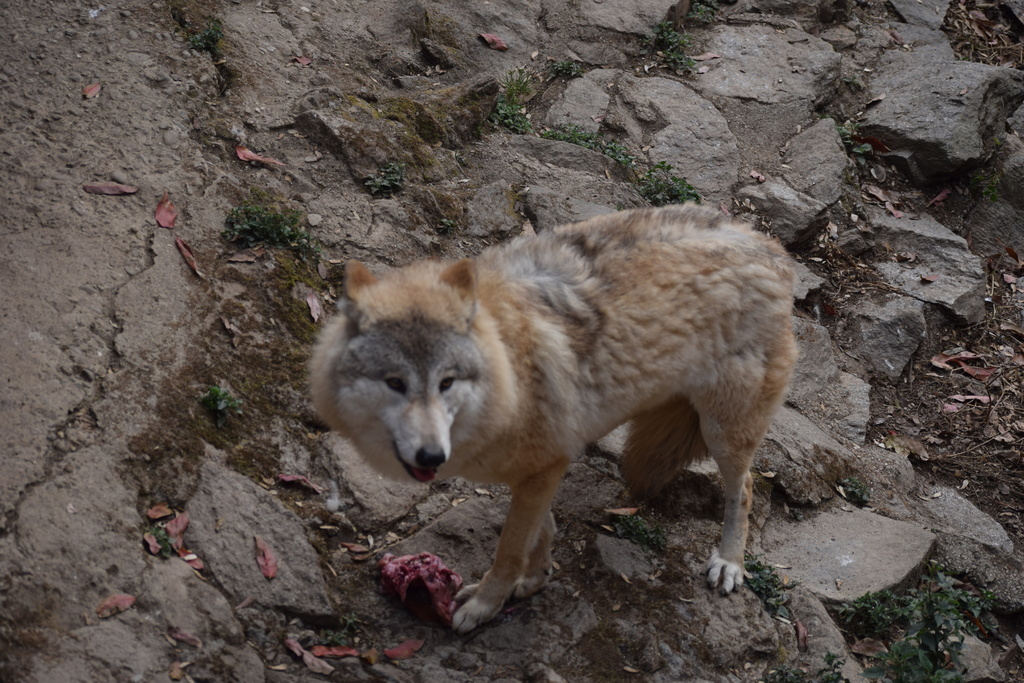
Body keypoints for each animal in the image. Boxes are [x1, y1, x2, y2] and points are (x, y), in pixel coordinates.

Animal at [310, 204, 797, 633]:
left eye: (447, 382)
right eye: (395, 383)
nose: (432, 456)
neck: (509, 371)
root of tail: (774, 251)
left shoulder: (545, 466)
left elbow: (509, 548)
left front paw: (486, 604)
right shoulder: (542, 469)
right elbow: (540, 530)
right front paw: (534, 578)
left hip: (723, 432)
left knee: (746, 488)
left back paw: (729, 563)